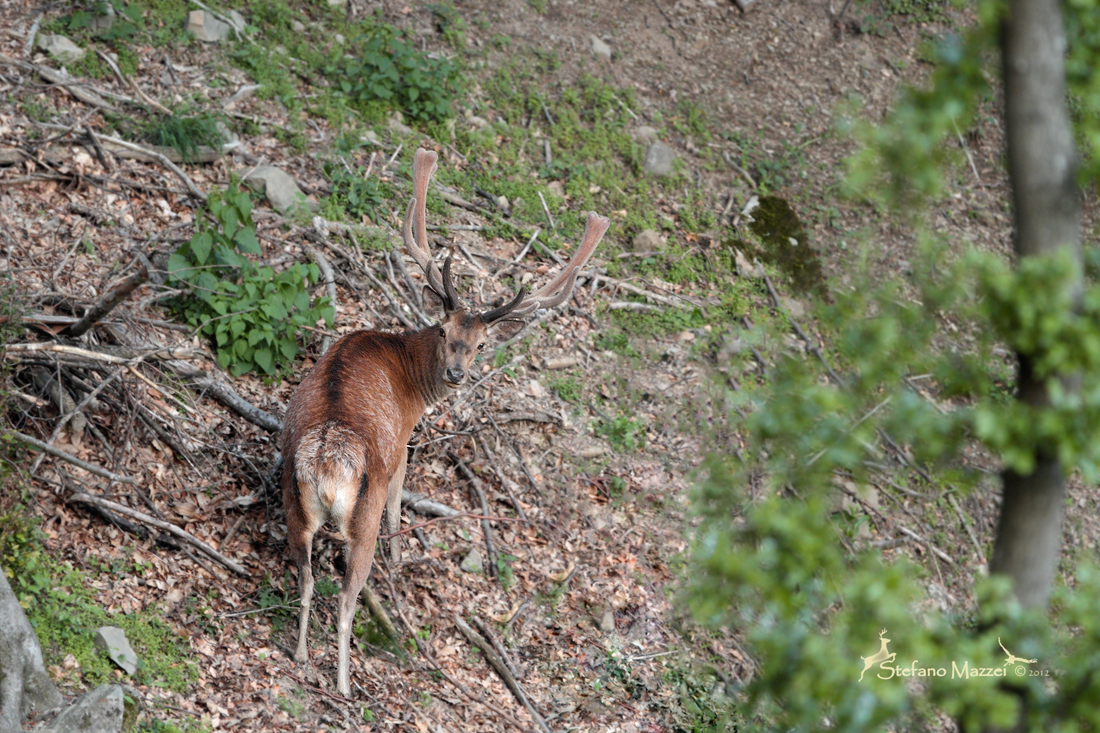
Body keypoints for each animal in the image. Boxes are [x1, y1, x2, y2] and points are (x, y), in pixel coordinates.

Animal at [279, 148, 610, 697]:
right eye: (443, 328)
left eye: (480, 343)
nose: (456, 373)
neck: (411, 380)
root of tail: (326, 463)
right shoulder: (400, 450)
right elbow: (398, 506)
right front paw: (398, 558)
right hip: (361, 517)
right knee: (346, 597)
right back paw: (345, 683)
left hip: (295, 506)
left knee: (304, 579)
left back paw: (302, 655)